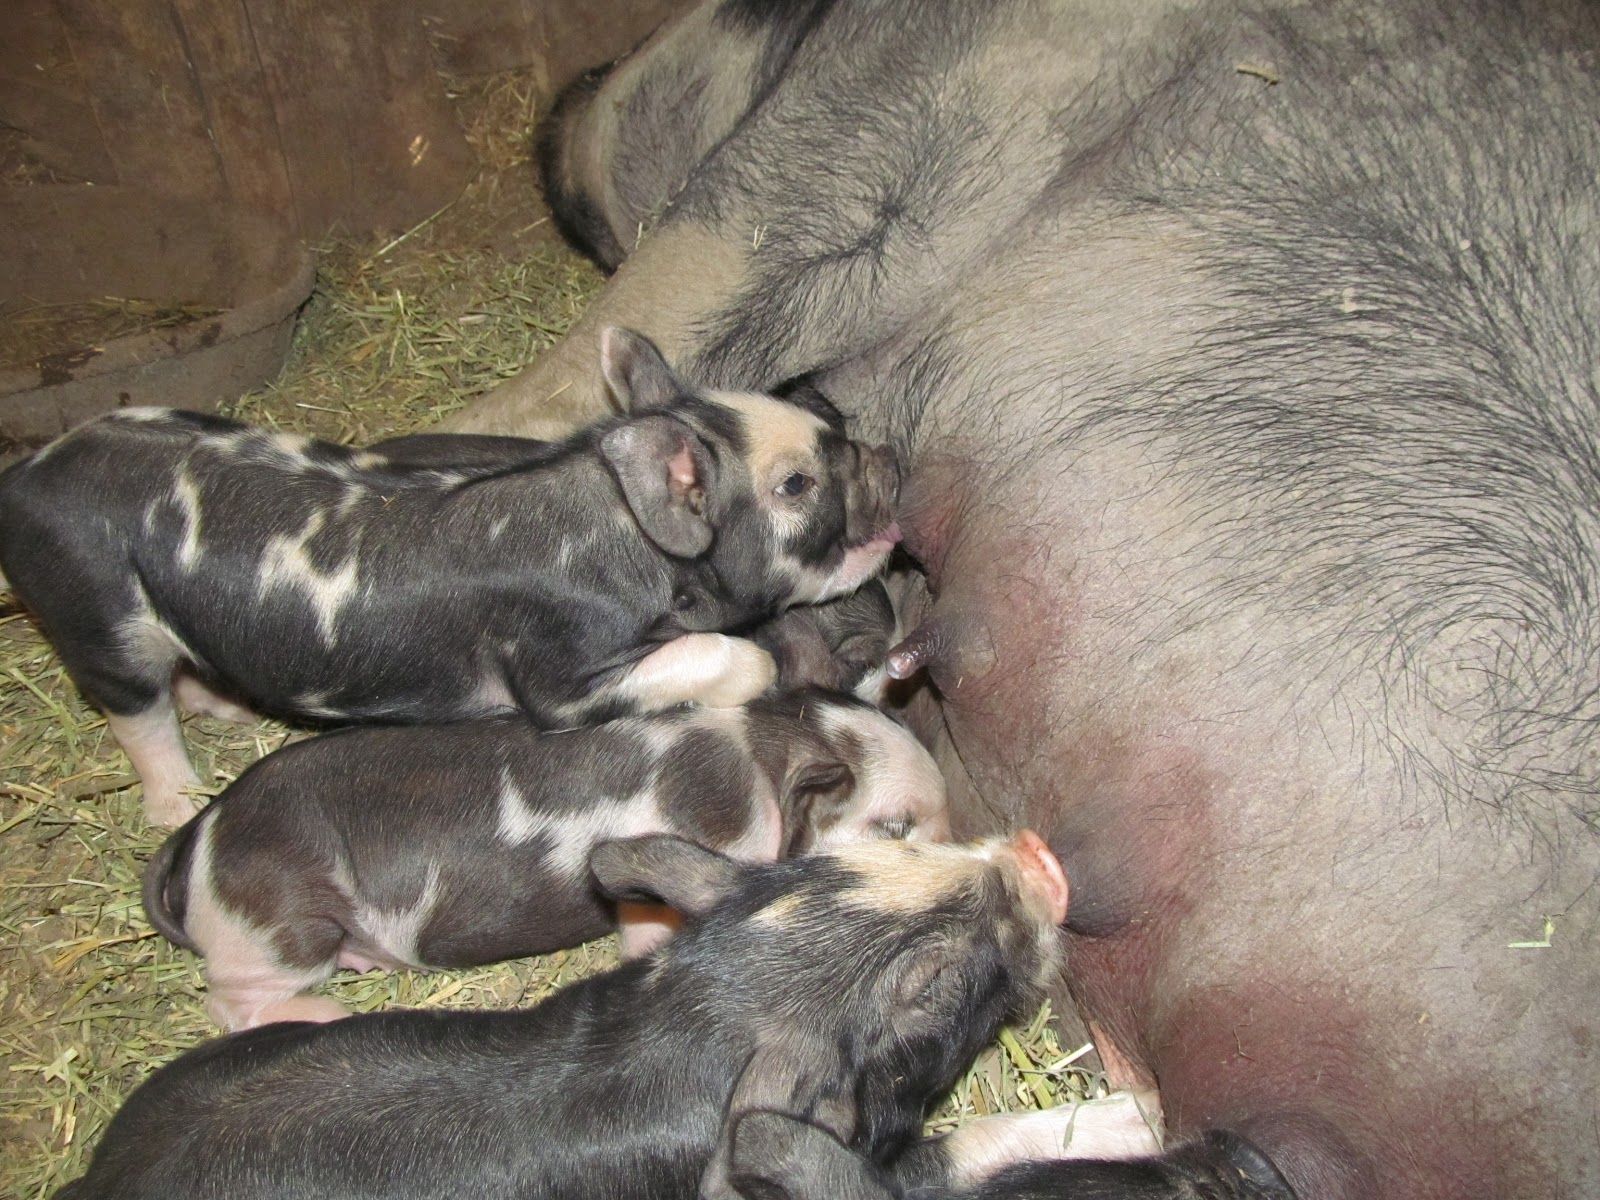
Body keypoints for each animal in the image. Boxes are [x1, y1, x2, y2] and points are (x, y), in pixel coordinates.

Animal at [0, 325, 900, 826]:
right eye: (795, 484)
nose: (888, 459)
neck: (622, 531)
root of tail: (29, 476)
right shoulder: (559, 673)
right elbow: (726, 654)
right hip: (95, 609)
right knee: (136, 711)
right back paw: (179, 805)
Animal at [141, 688, 950, 1030]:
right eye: (895, 825)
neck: (758, 762)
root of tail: (201, 835)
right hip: (276, 930)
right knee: (231, 1000)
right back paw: (325, 1013)